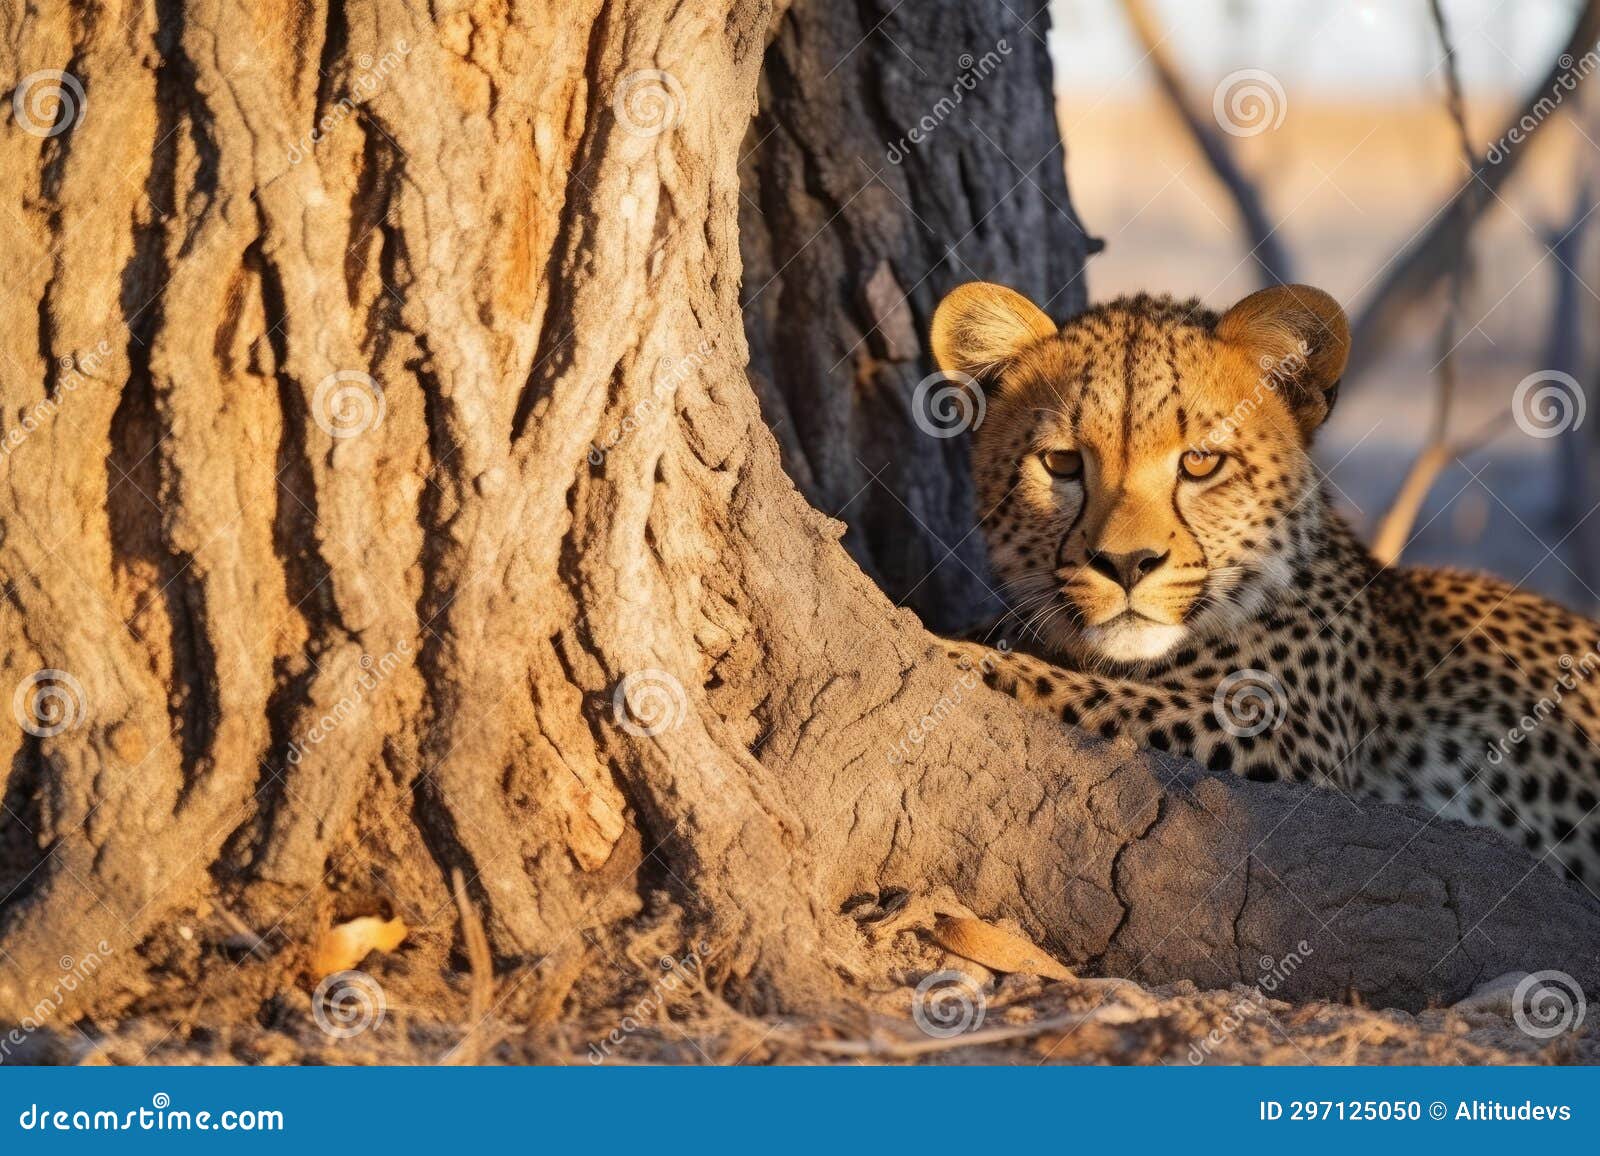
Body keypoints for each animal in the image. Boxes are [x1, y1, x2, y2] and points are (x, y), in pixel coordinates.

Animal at [929, 280, 1600, 885]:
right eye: (1062, 463)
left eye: (1200, 461)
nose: (1126, 564)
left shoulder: (1294, 743)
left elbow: (1092, 694)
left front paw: (950, 656)